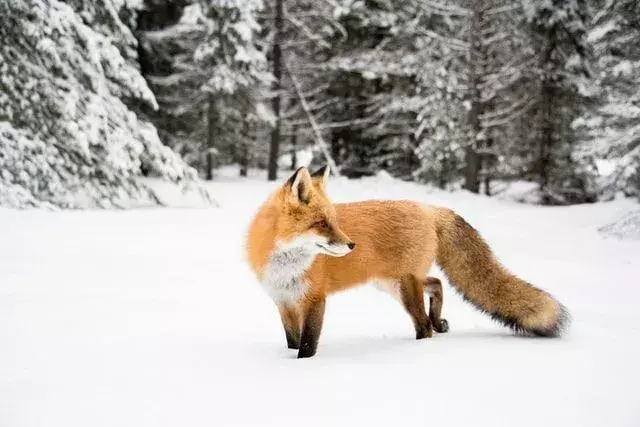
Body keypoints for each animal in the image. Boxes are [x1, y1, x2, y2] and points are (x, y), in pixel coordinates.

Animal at [245, 166, 568, 360]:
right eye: (322, 224)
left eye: (333, 221)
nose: (351, 245)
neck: (285, 266)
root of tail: (429, 208)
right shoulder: (284, 302)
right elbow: (292, 340)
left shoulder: (314, 299)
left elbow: (307, 345)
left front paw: (302, 367)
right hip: (392, 283)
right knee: (437, 283)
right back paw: (439, 321)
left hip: (403, 286)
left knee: (423, 323)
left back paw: (419, 344)